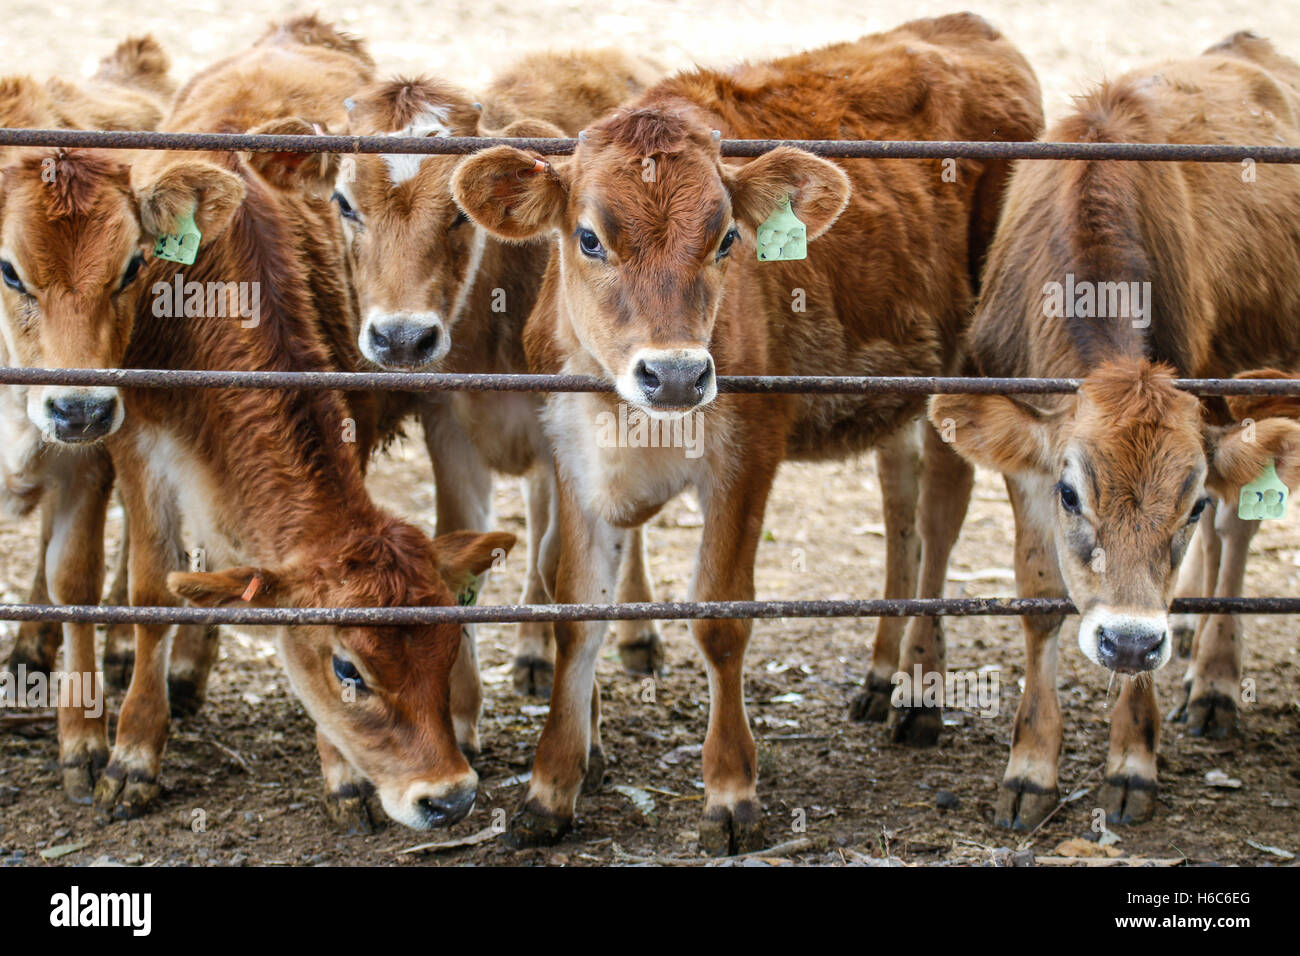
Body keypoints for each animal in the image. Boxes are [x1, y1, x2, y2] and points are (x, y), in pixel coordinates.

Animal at [0, 17, 514, 832]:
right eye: (348, 668)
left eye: (448, 645)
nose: (451, 796)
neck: (219, 292)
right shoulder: (138, 447)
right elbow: (153, 590)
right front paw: (132, 753)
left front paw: (340, 774)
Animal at [335, 50, 661, 703]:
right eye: (344, 203)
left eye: (460, 212)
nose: (402, 338)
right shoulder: (448, 429)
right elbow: (462, 549)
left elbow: (562, 561)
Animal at [451, 13, 1043, 852]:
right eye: (590, 238)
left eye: (726, 237)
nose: (673, 376)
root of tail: (963, 24)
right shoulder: (572, 455)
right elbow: (576, 614)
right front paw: (550, 790)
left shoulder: (747, 450)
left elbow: (721, 617)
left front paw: (730, 793)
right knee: (902, 505)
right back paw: (879, 675)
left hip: (969, 367)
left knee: (942, 511)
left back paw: (919, 693)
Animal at [930, 30, 1300, 829]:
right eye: (1072, 495)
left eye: (1188, 502)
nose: (1129, 643)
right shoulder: (1026, 462)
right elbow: (1041, 595)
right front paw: (1030, 769)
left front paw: (1132, 760)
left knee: (1236, 530)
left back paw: (1214, 679)